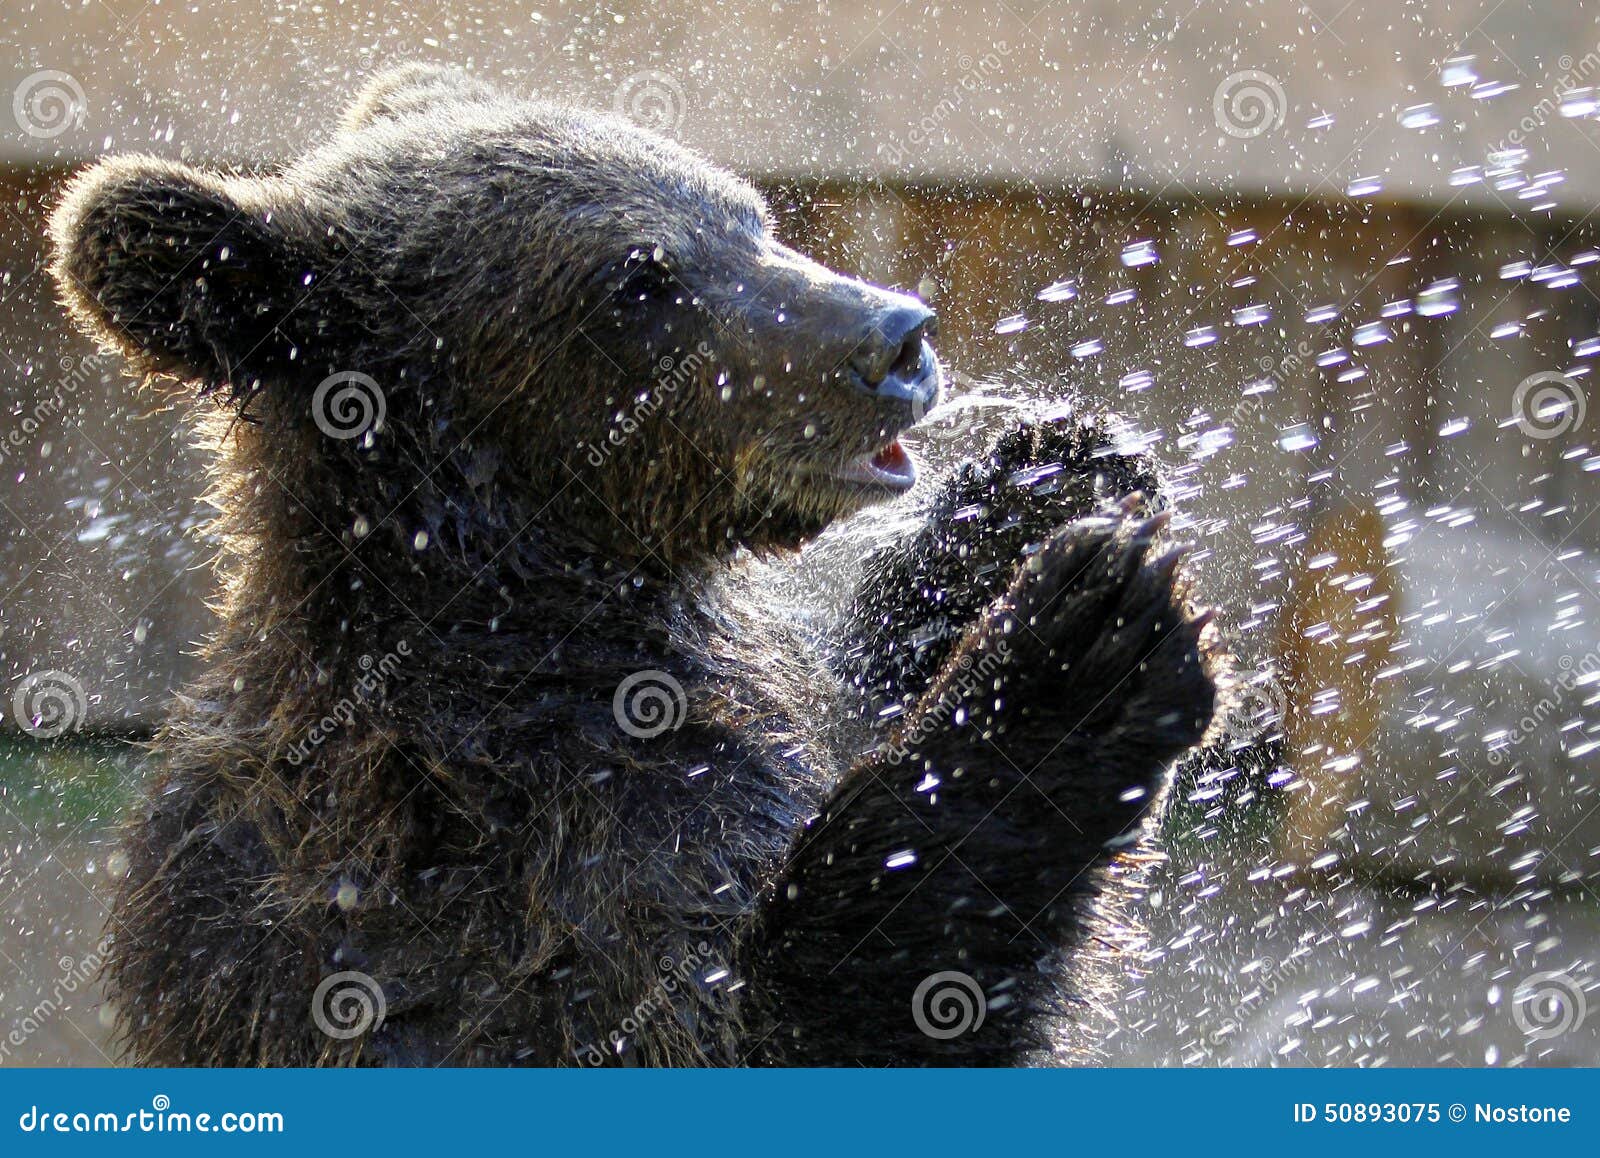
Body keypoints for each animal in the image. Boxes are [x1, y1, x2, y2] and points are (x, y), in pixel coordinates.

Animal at [48, 64, 1219, 1066]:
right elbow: (765, 1014)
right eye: (642, 277)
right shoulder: (502, 869)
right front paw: (1083, 642)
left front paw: (1055, 478)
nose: (897, 337)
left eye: (748, 214)